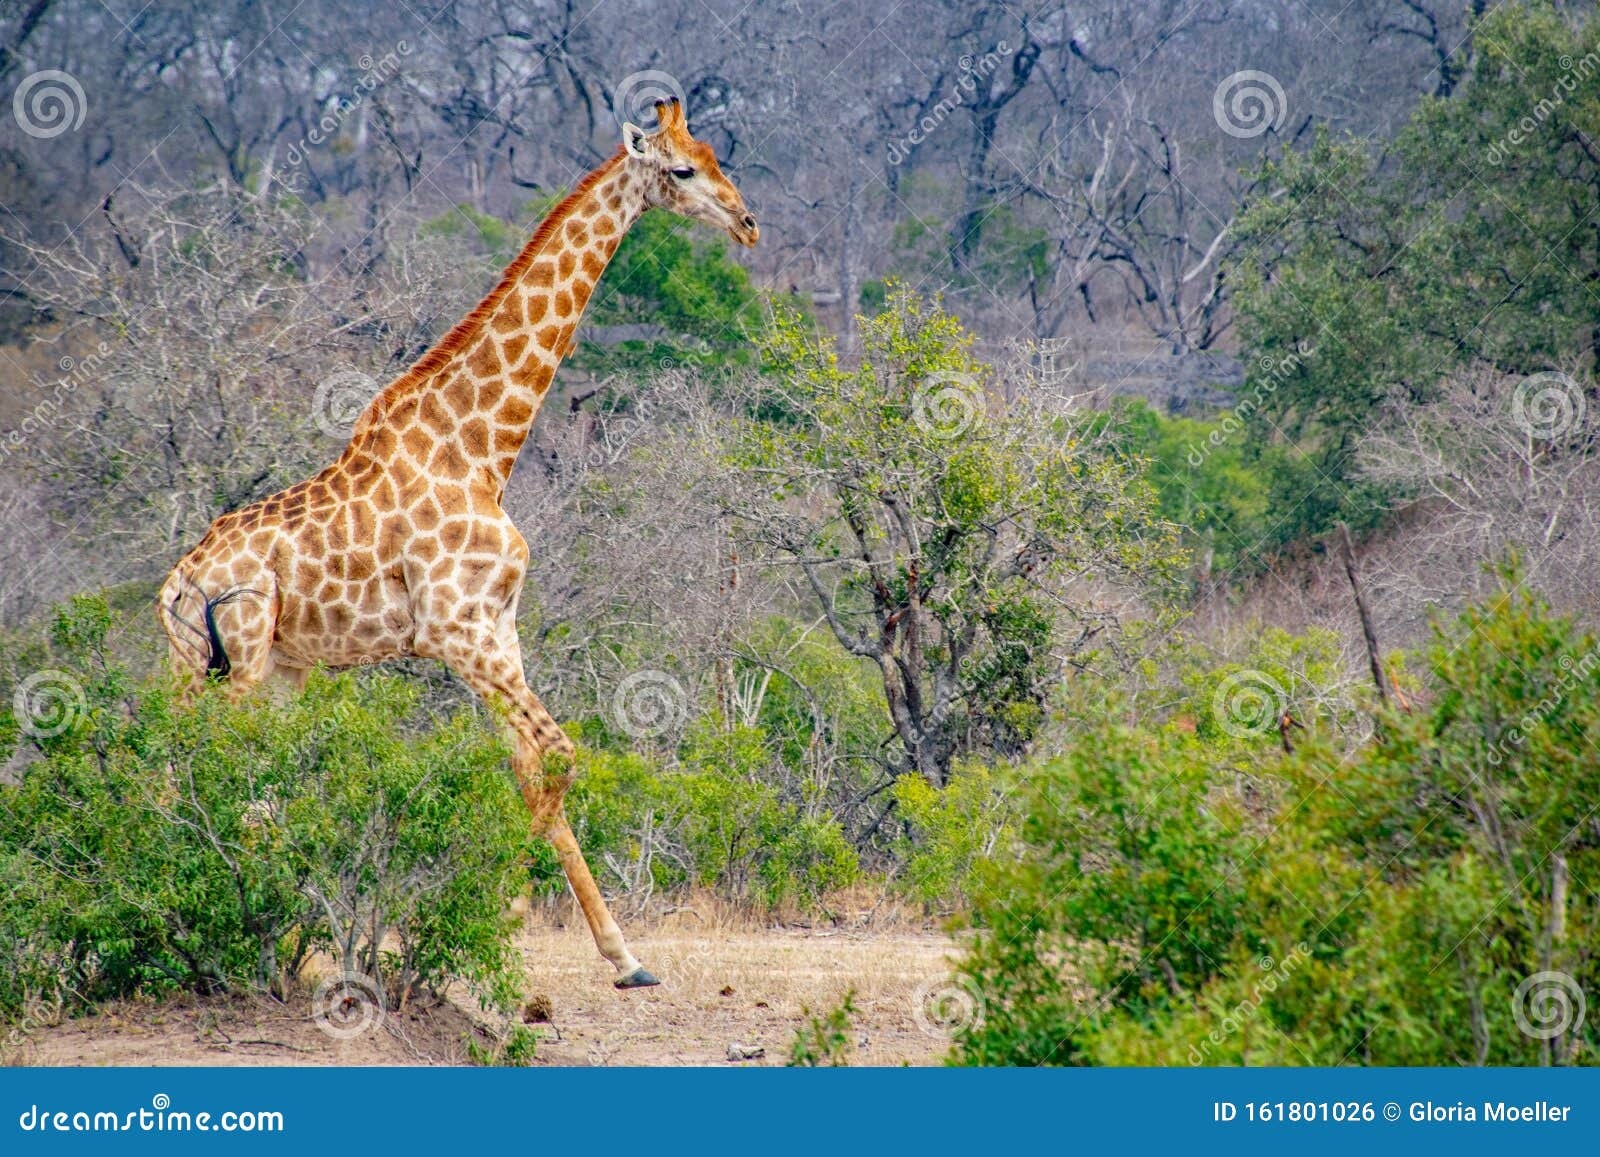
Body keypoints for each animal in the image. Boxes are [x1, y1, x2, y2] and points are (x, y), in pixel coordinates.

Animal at [157, 98, 757, 990]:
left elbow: (533, 768)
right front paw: (480, 922)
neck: (480, 449)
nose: (748, 223)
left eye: (716, 155)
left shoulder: (497, 628)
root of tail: (175, 586)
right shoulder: (455, 629)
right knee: (209, 773)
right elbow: (559, 754)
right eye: (683, 169)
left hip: (244, 669)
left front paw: (623, 956)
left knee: (202, 775)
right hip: (242, 661)